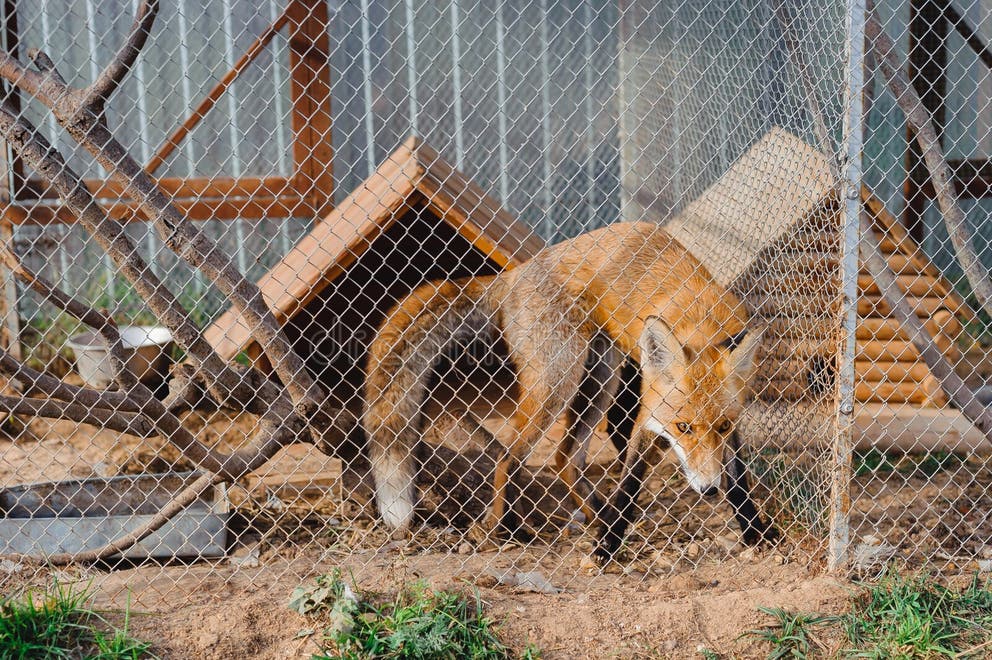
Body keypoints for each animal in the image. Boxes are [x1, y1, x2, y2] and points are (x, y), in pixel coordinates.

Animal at [363, 221, 777, 559]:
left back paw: (592, 518)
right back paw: (507, 529)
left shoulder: (729, 429)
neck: (700, 321)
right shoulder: (646, 417)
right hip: (559, 382)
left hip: (598, 379)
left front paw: (758, 533)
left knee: (565, 458)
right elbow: (628, 485)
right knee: (507, 458)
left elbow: (739, 482)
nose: (708, 491)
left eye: (721, 427)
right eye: (683, 427)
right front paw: (607, 548)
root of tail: (514, 275)